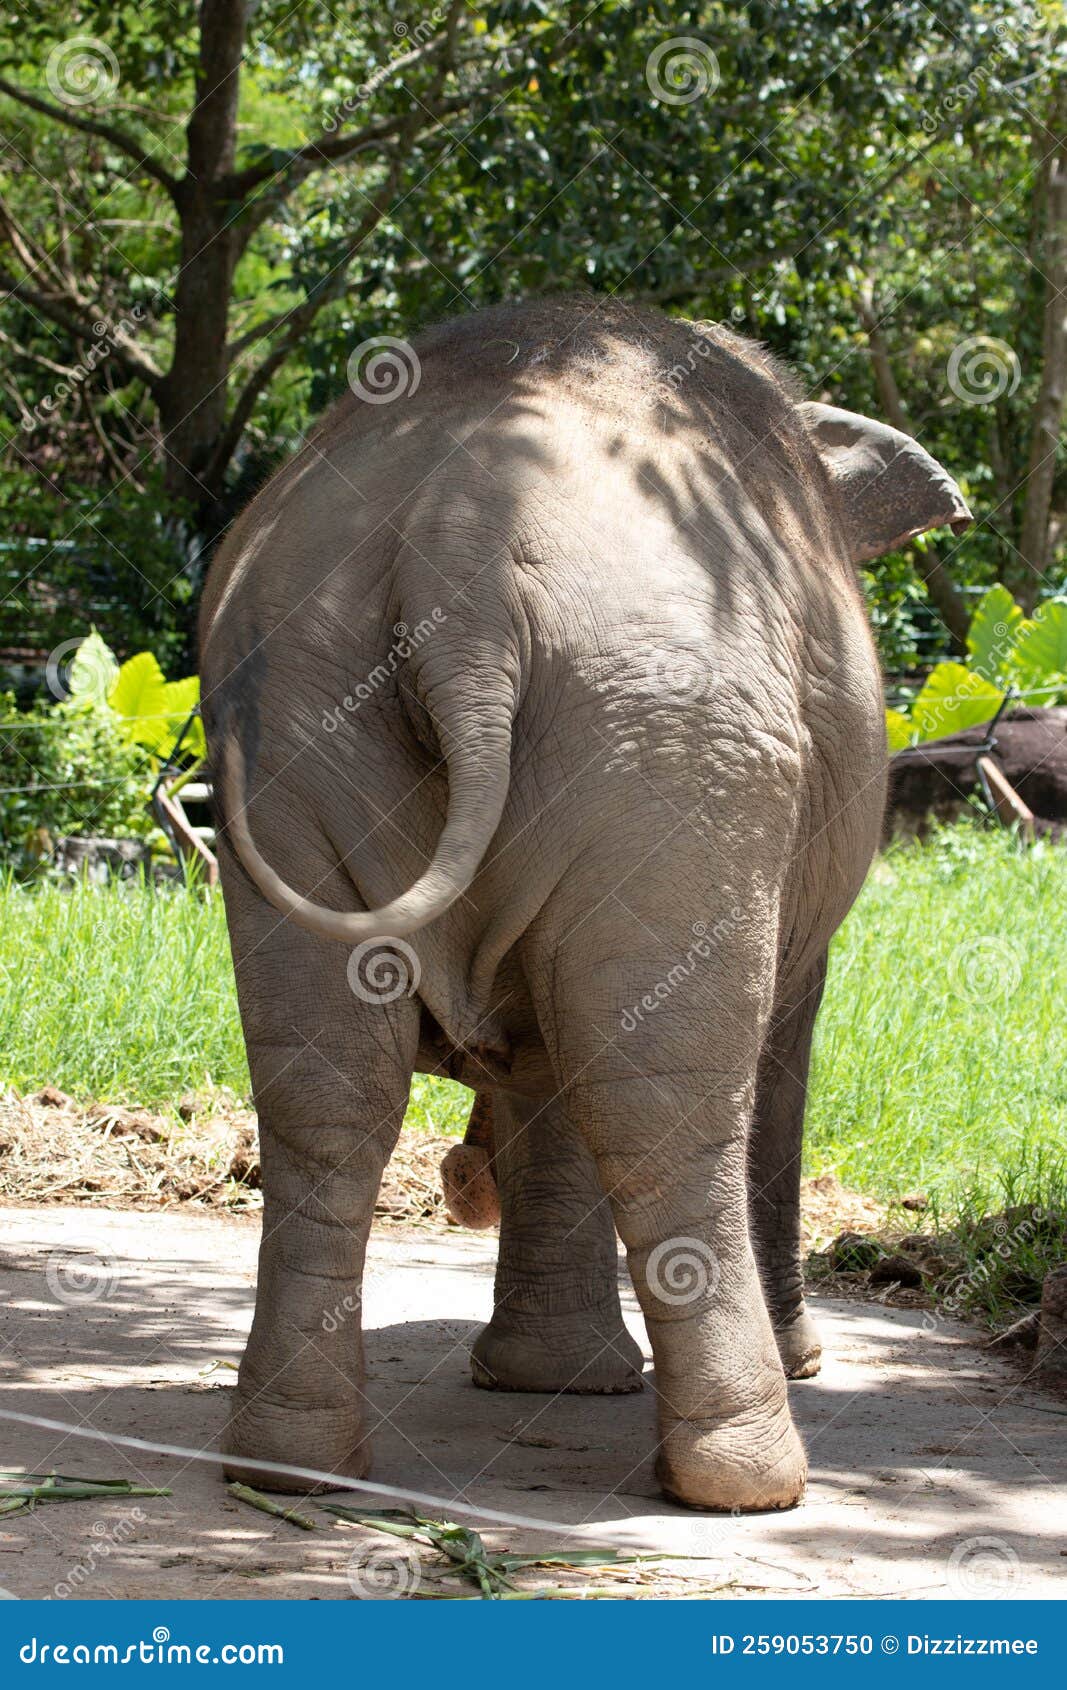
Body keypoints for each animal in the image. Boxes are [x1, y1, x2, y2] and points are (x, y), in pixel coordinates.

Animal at [200, 296, 970, 1512]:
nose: (464, 1184)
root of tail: (456, 558)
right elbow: (770, 1035)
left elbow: (531, 1054)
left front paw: (536, 1373)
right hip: (675, 748)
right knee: (656, 1092)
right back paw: (746, 1478)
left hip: (301, 732)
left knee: (327, 1092)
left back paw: (290, 1465)